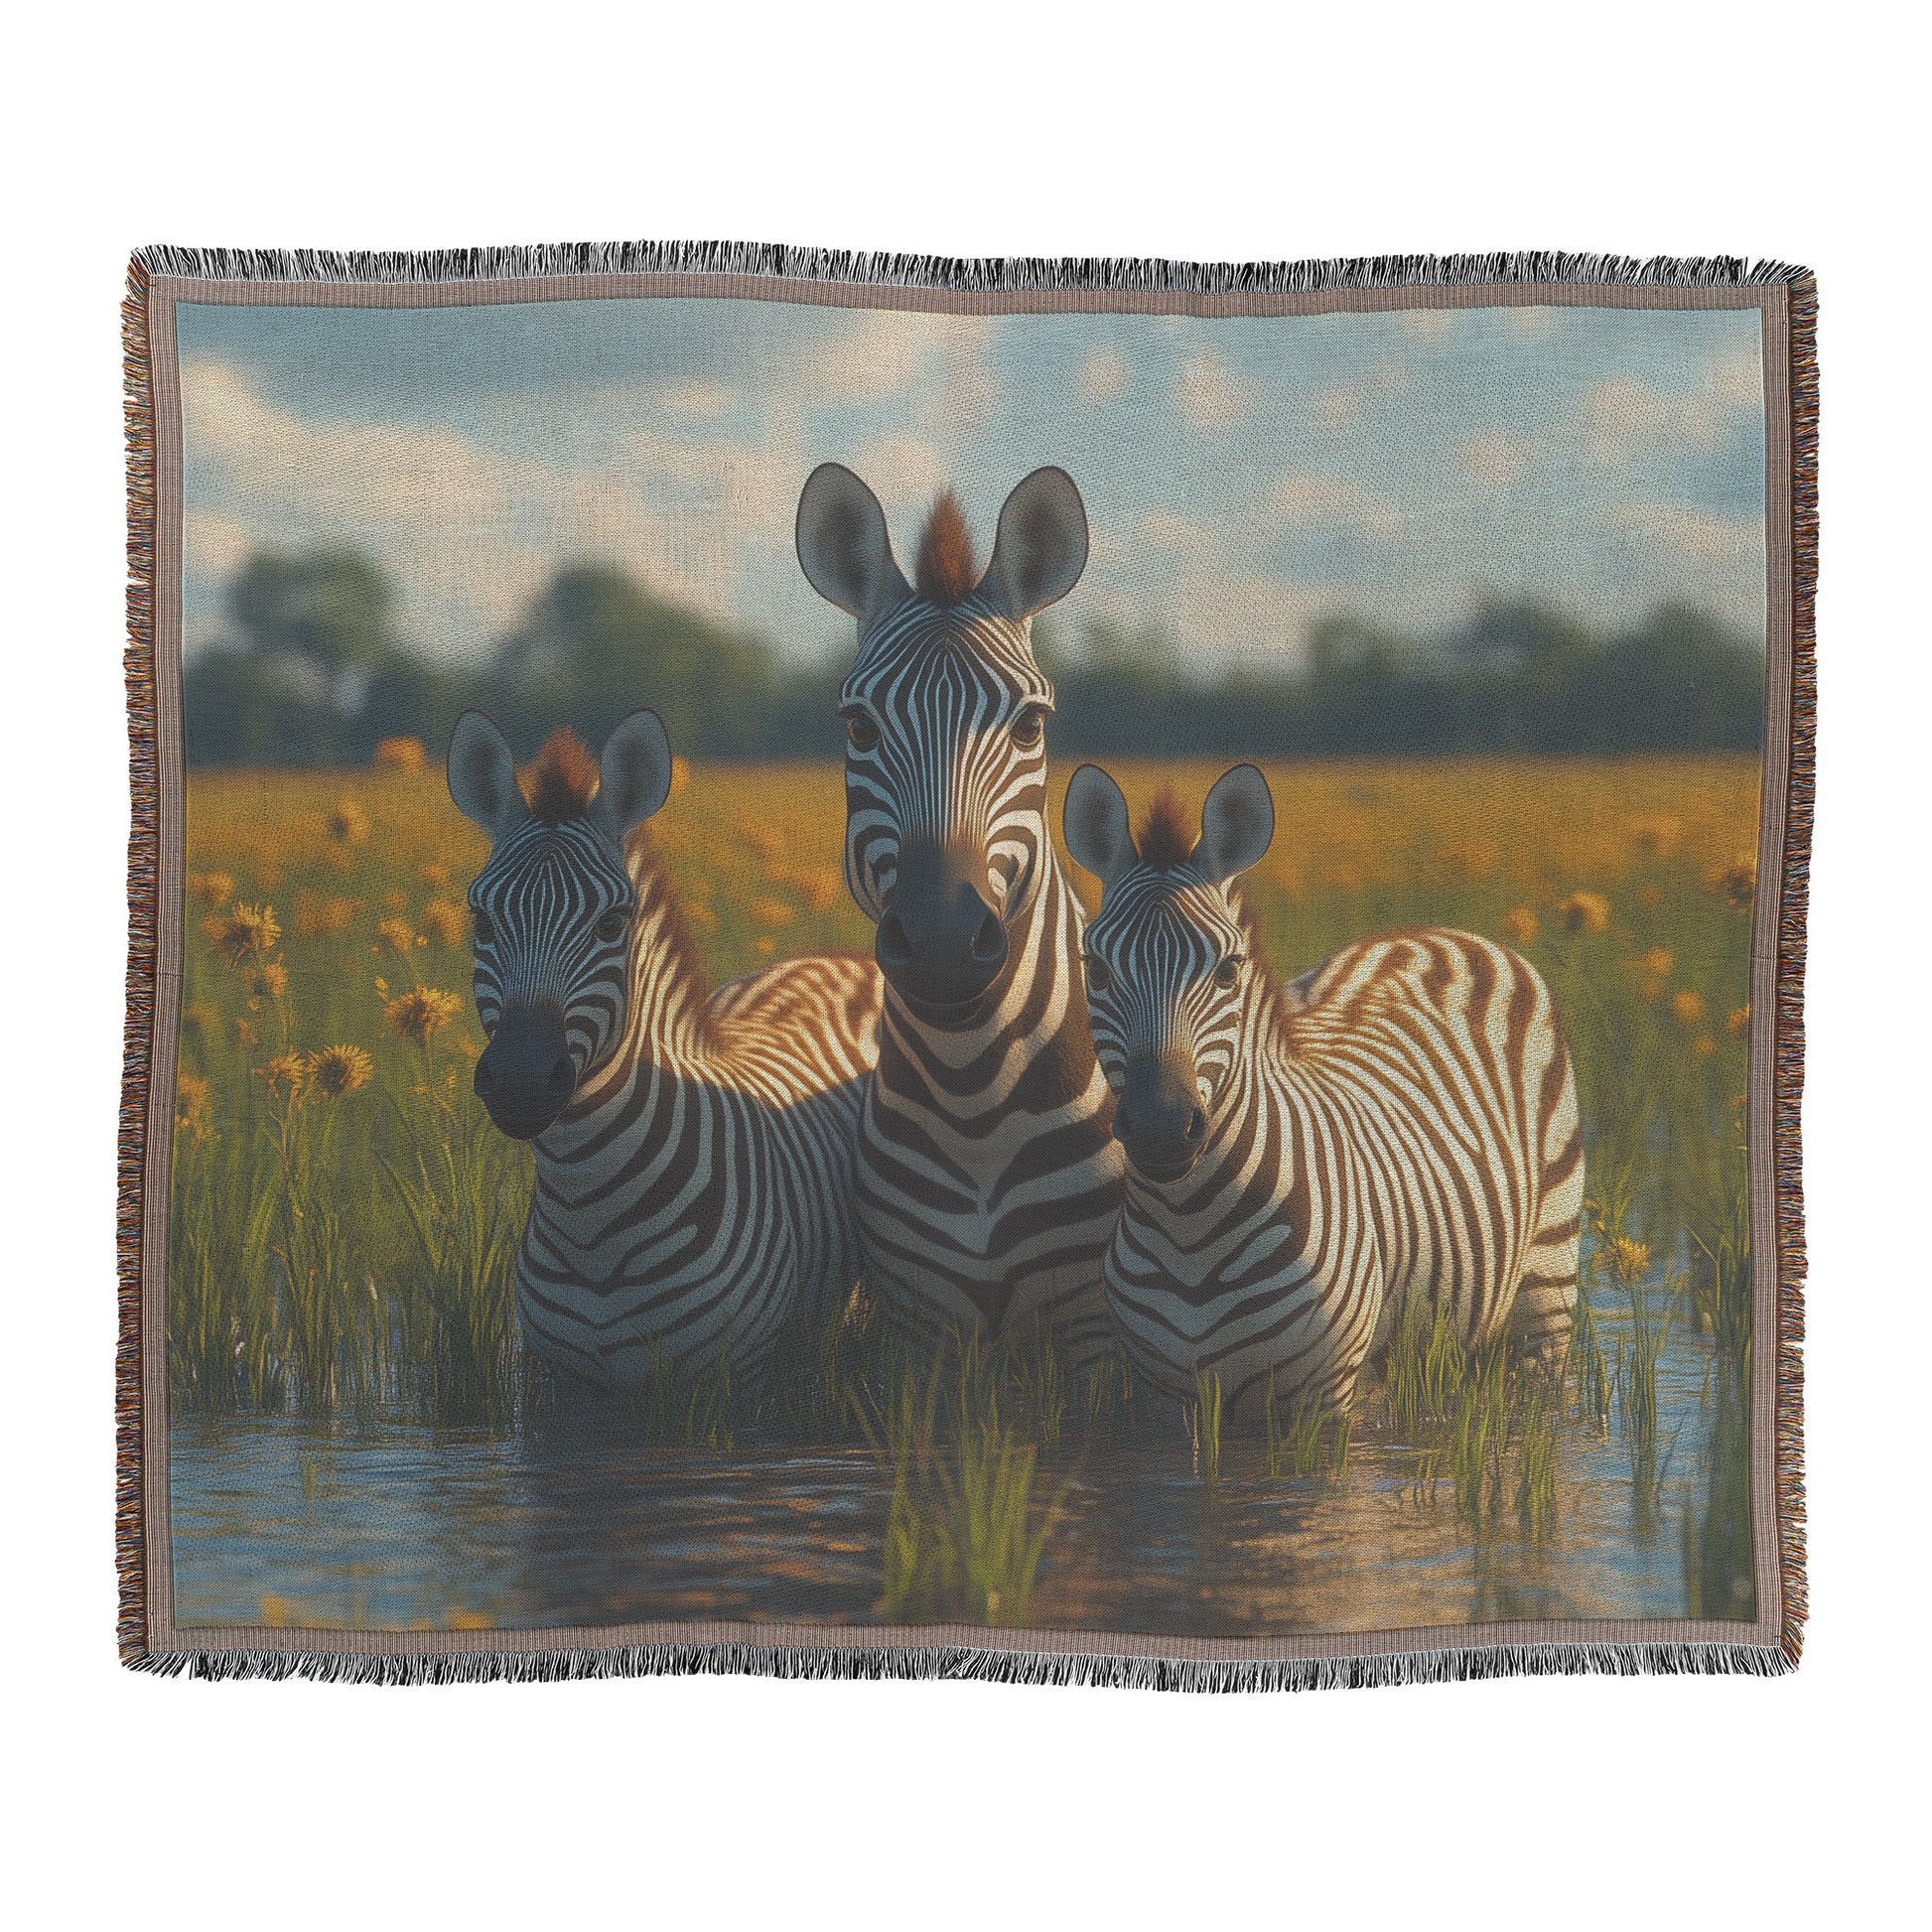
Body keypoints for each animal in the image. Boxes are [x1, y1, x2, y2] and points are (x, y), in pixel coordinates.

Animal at [446, 707, 883, 1393]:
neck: (591, 1216)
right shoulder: (561, 1386)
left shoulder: (736, 1382)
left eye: (612, 925)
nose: (521, 1080)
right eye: (481, 923)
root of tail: (840, 957)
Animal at [795, 464, 1124, 1364]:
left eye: (1032, 724)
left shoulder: (1099, 1329)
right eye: (858, 725)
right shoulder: (915, 1328)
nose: (942, 942)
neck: (973, 1096)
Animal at [1062, 761, 1583, 1419]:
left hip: (1547, 1284)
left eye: (1228, 972)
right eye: (1096, 970)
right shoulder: (1164, 1398)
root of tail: (1443, 933)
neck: (1189, 1229)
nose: (1161, 1129)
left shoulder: (1327, 1398)